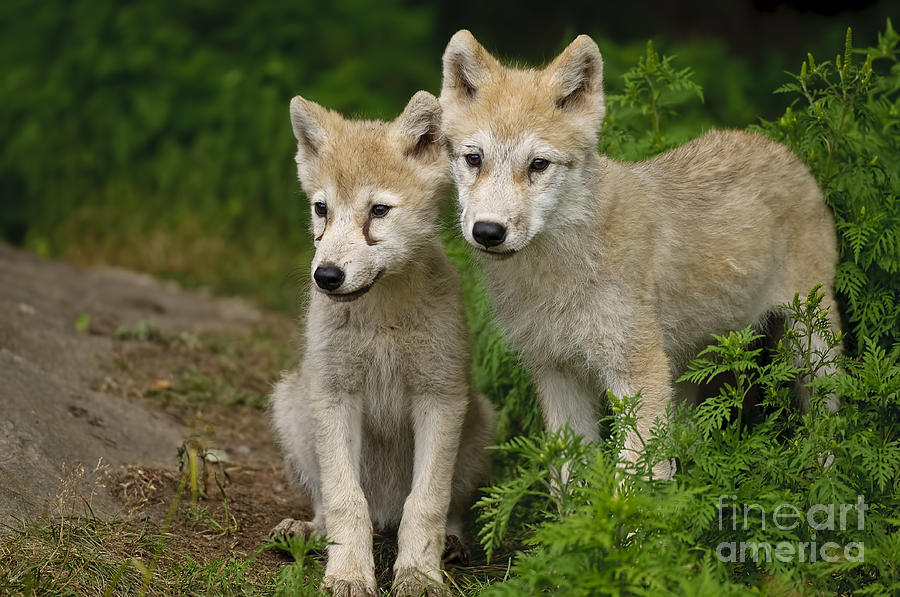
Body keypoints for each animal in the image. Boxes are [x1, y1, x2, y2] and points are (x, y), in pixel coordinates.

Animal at [270, 90, 495, 597]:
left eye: (378, 211)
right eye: (321, 209)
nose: (326, 276)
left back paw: (451, 544)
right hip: (292, 405)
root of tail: (384, 517)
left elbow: (426, 503)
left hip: (480, 422)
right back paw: (307, 531)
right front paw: (348, 574)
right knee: (330, 504)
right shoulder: (335, 394)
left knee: (445, 508)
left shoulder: (439, 397)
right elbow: (345, 500)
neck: (382, 319)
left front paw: (419, 575)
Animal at [438, 30, 840, 479]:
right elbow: (573, 484)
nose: (488, 232)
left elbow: (633, 483)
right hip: (687, 368)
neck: (558, 274)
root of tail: (779, 146)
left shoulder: (638, 374)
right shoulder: (557, 374)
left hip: (812, 351)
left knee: (830, 428)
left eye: (538, 165)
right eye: (474, 159)